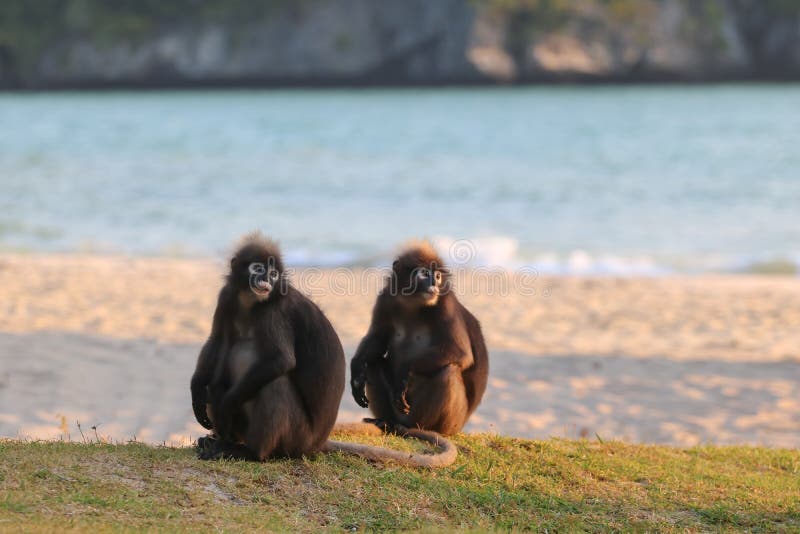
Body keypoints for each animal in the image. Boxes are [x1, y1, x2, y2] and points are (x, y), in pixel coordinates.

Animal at [190, 232, 456, 467]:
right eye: (257, 269)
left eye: (273, 273)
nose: (266, 281)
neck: (250, 303)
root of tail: (316, 443)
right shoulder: (227, 297)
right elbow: (216, 341)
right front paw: (196, 393)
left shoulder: (273, 310)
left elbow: (281, 360)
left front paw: (225, 406)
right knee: (220, 371)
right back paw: (219, 438)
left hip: (296, 436)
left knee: (273, 382)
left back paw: (251, 453)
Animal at [350, 242, 489, 436]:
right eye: (424, 273)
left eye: (437, 276)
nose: (434, 283)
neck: (412, 303)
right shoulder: (385, 299)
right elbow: (377, 338)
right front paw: (356, 370)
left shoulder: (446, 304)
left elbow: (461, 353)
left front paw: (404, 374)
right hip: (397, 410)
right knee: (373, 362)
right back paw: (385, 420)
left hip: (446, 420)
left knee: (448, 372)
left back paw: (426, 429)